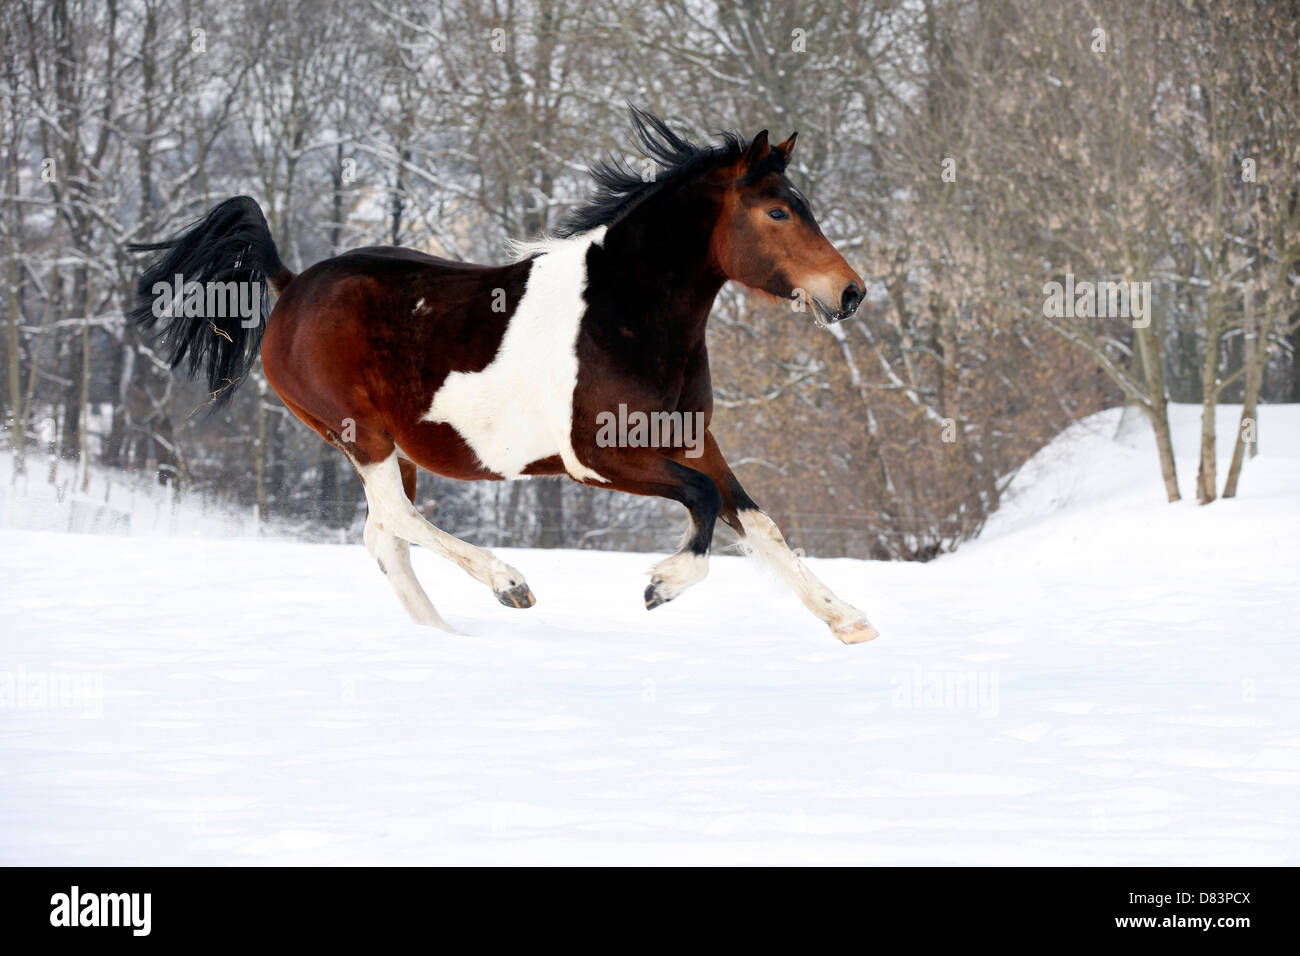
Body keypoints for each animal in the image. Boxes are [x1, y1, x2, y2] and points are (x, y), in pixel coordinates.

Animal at [128, 107, 879, 644]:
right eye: (777, 211)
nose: (850, 292)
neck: (626, 315)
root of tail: (290, 285)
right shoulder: (597, 457)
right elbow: (703, 499)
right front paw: (660, 586)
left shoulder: (689, 439)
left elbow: (757, 521)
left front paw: (849, 620)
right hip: (359, 433)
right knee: (397, 517)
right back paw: (508, 583)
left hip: (393, 446)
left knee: (384, 534)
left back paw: (446, 634)